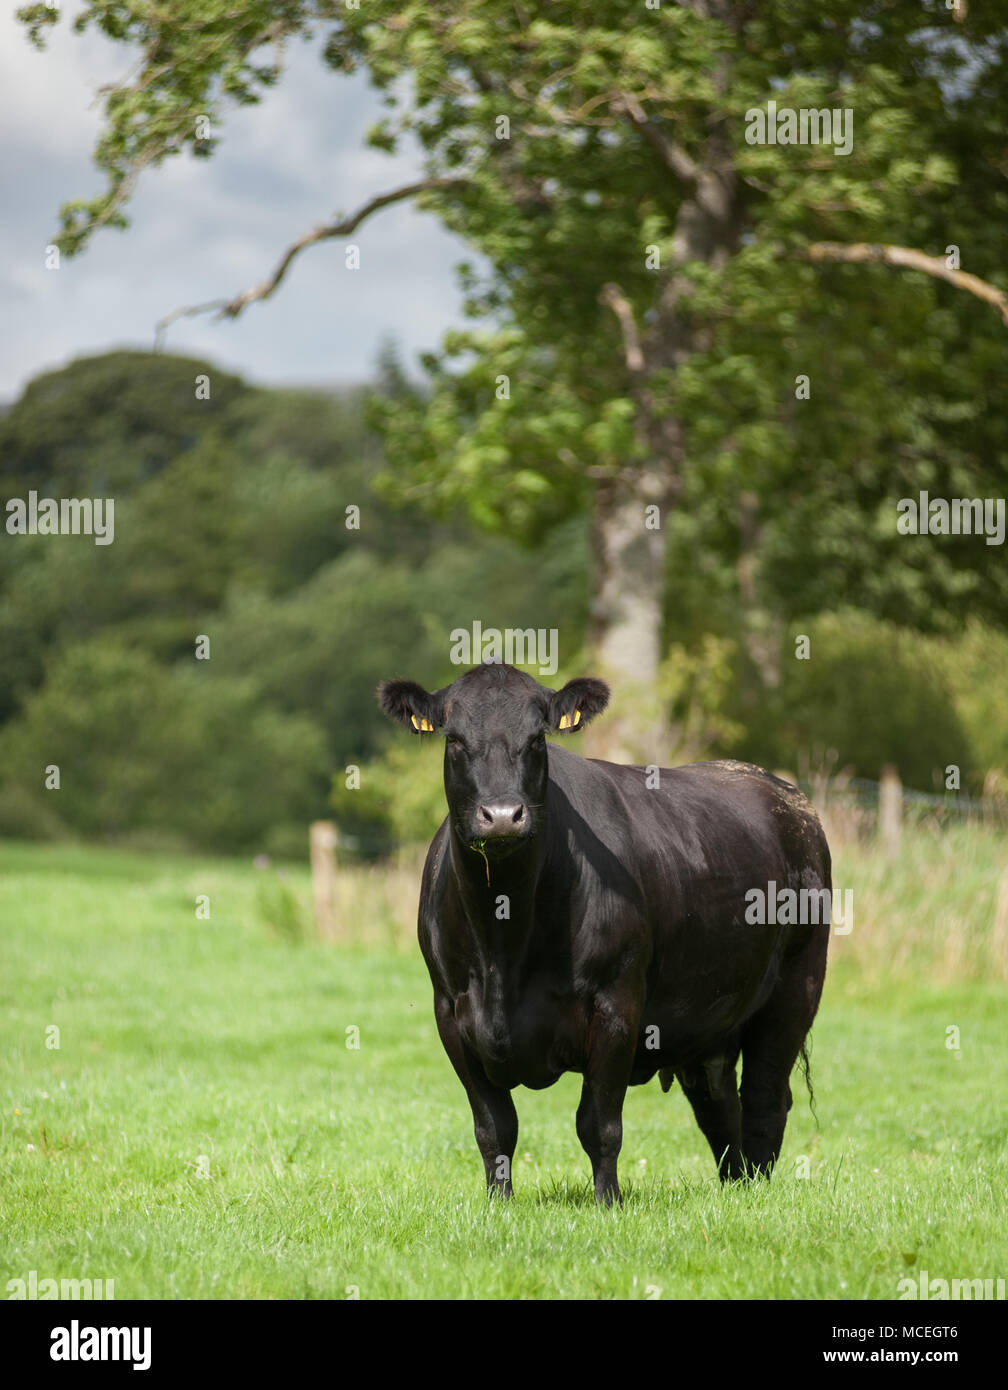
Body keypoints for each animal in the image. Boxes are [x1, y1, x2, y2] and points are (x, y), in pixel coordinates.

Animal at [377, 663, 830, 1205]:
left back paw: (755, 1189)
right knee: (719, 1103)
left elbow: (598, 1123)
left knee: (765, 1096)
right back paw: (735, 1183)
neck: (504, 948)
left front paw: (608, 1202)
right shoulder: (451, 1011)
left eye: (537, 738)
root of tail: (784, 793)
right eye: (455, 739)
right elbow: (494, 1127)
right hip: (710, 1017)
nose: (503, 816)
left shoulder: (616, 1003)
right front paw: (497, 1203)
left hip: (796, 986)